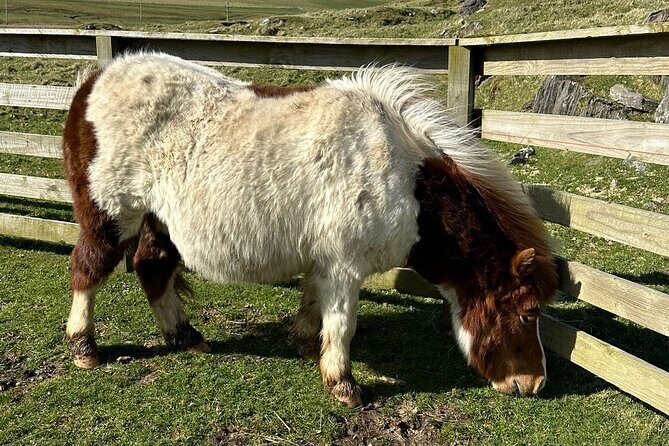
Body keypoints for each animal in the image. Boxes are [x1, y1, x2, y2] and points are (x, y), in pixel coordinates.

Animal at [62, 52, 558, 407]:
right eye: (528, 313)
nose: (534, 384)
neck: (405, 180)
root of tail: (93, 81)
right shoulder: (344, 267)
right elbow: (342, 324)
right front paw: (344, 385)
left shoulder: (324, 262)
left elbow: (313, 304)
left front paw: (304, 345)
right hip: (112, 216)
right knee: (88, 270)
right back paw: (84, 348)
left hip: (157, 222)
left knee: (153, 268)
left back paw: (185, 337)